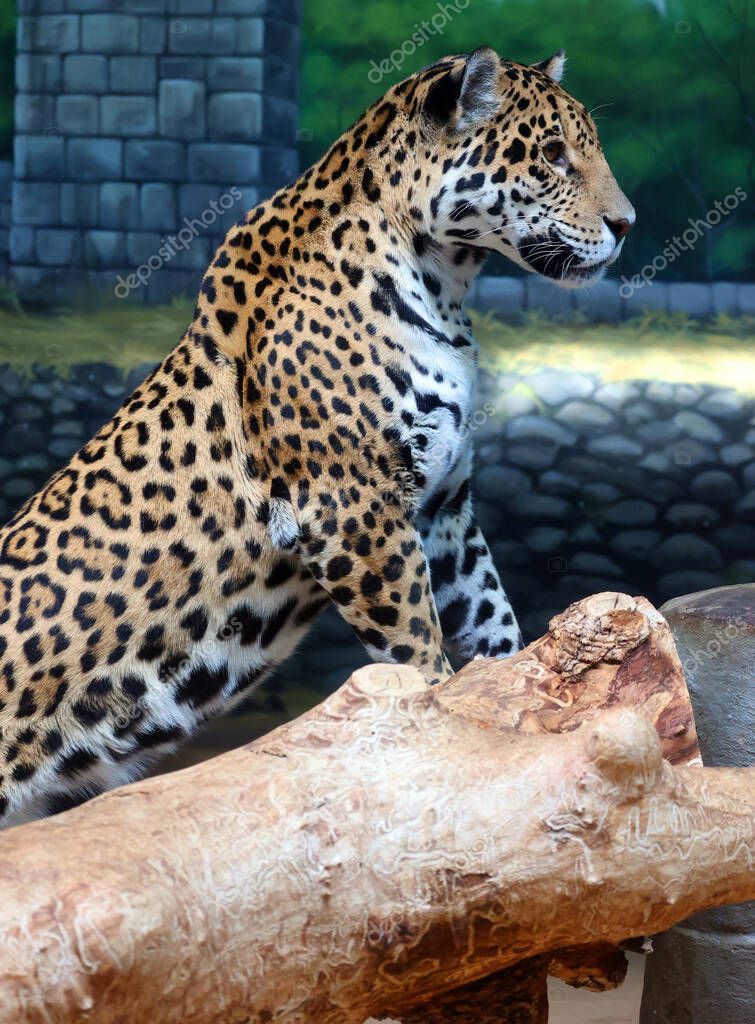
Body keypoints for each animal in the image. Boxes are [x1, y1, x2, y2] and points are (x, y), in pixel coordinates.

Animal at [0, 46, 634, 828]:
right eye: (551, 154)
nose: (628, 224)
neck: (445, 282)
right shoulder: (355, 511)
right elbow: (417, 655)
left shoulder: (444, 510)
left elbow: (492, 620)